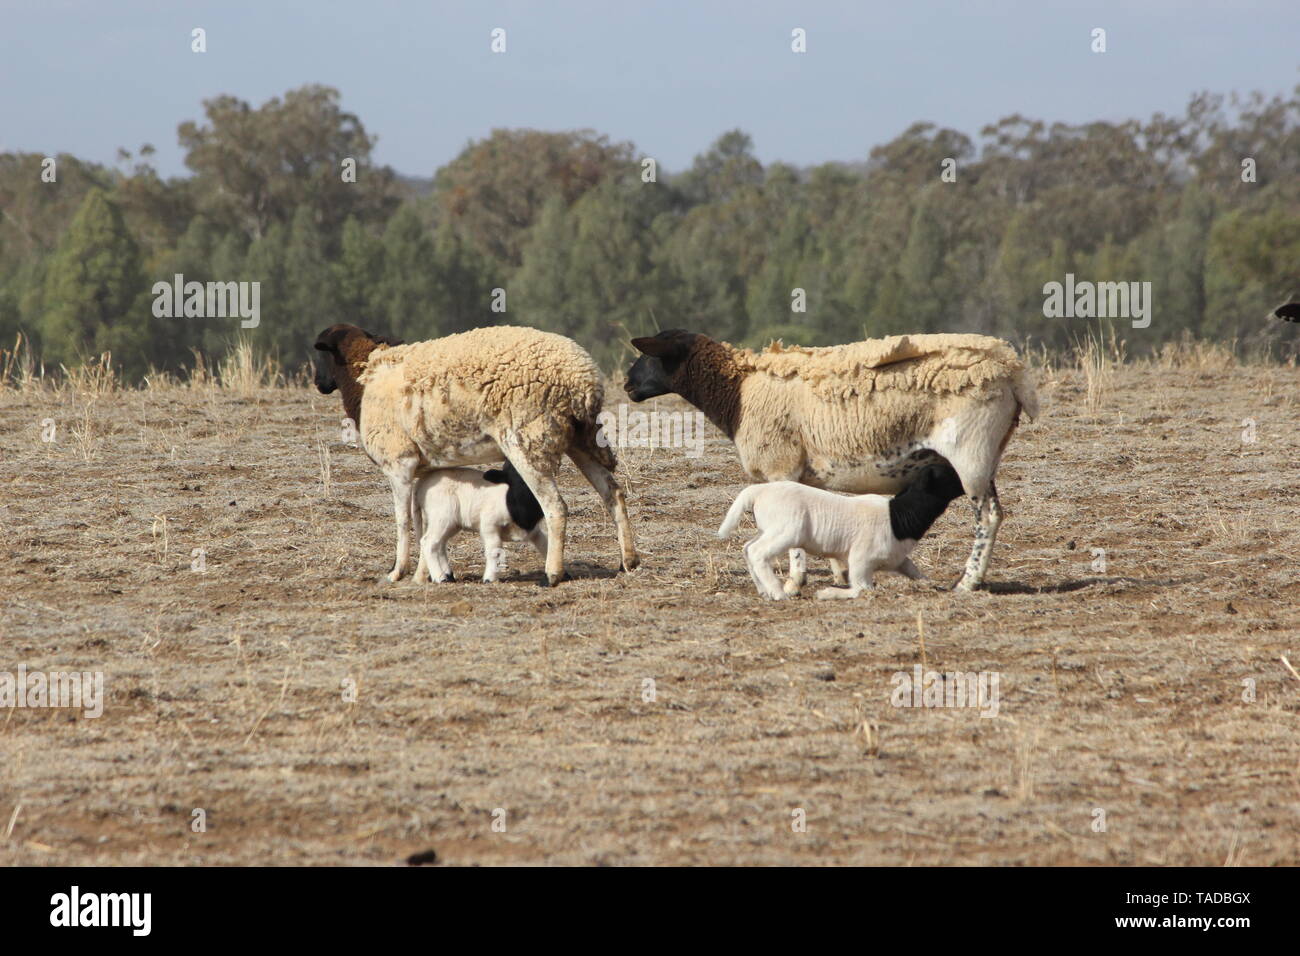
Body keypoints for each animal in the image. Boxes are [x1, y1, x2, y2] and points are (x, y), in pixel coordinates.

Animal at [412, 462, 548, 584]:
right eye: (517, 481)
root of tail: (420, 483)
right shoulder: (489, 524)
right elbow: (494, 549)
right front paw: (490, 579)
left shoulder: (534, 530)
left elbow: (545, 545)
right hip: (442, 516)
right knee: (429, 542)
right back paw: (440, 578)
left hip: (452, 523)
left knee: (440, 543)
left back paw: (448, 575)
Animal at [719, 462, 966, 600]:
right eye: (949, 475)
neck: (899, 517)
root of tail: (757, 492)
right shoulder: (860, 561)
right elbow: (860, 589)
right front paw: (827, 593)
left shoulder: (896, 559)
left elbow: (914, 570)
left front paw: (933, 584)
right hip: (786, 532)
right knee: (758, 553)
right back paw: (778, 593)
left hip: (768, 529)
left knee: (747, 548)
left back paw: (763, 590)